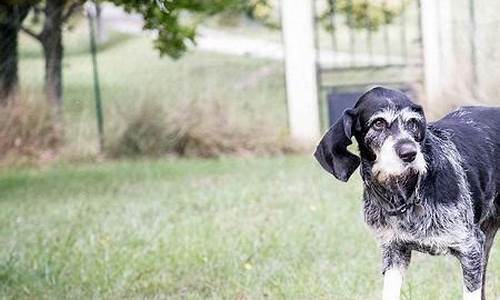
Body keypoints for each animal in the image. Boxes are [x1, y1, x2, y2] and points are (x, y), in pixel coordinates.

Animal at [314, 86, 500, 300]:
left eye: (412, 122)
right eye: (378, 123)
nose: (409, 153)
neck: (403, 195)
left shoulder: (470, 249)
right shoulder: (394, 252)